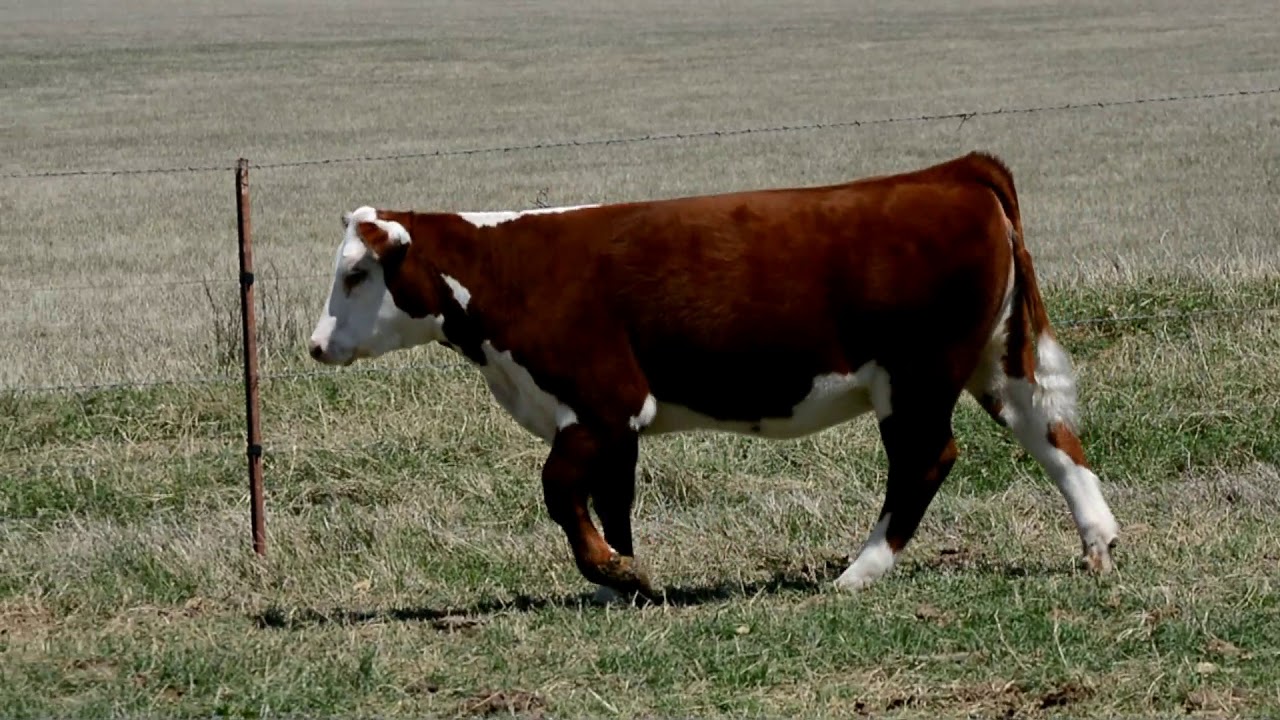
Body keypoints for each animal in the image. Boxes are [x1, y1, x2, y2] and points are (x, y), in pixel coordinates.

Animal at [307, 151, 1120, 603]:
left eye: (356, 274)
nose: (315, 345)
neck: (514, 271)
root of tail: (953, 174)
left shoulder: (598, 406)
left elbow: (561, 494)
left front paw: (615, 575)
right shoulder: (617, 426)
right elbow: (614, 500)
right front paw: (624, 579)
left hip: (917, 375)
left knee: (925, 461)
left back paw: (858, 573)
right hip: (995, 361)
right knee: (1052, 435)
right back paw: (1099, 544)